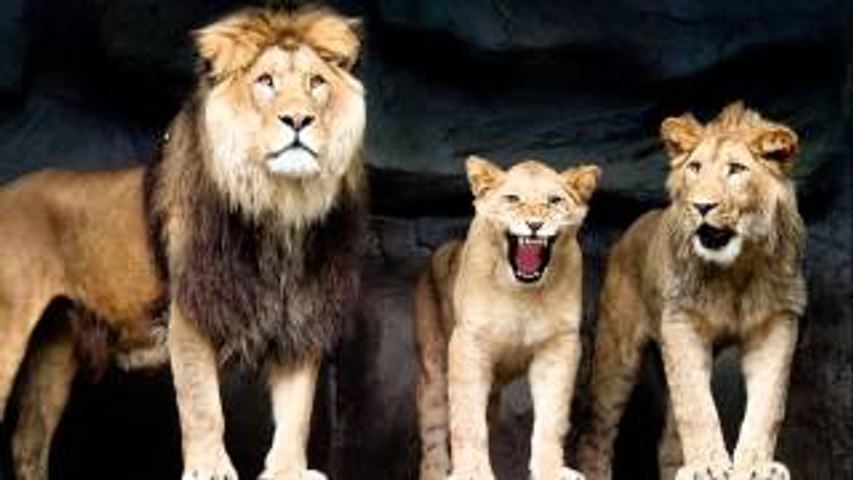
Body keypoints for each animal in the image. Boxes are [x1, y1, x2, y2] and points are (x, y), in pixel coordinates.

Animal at [0, 7, 366, 480]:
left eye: (316, 82)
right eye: (265, 81)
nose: (299, 120)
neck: (279, 208)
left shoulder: (300, 315)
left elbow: (296, 412)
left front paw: (288, 471)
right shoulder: (189, 312)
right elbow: (202, 402)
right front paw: (210, 468)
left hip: (54, 347)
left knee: (28, 443)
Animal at [414, 156, 600, 480]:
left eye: (554, 200)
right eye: (513, 198)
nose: (535, 225)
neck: (522, 293)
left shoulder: (559, 346)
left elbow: (551, 419)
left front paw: (551, 470)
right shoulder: (468, 343)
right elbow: (467, 419)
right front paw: (471, 473)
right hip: (433, 365)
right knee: (433, 430)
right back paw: (437, 471)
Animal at [577, 102, 806, 480]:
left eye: (736, 170)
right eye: (695, 168)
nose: (701, 206)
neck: (735, 269)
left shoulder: (776, 322)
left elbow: (768, 402)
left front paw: (756, 466)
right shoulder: (680, 322)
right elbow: (696, 406)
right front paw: (709, 466)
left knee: (668, 440)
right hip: (617, 354)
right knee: (596, 433)